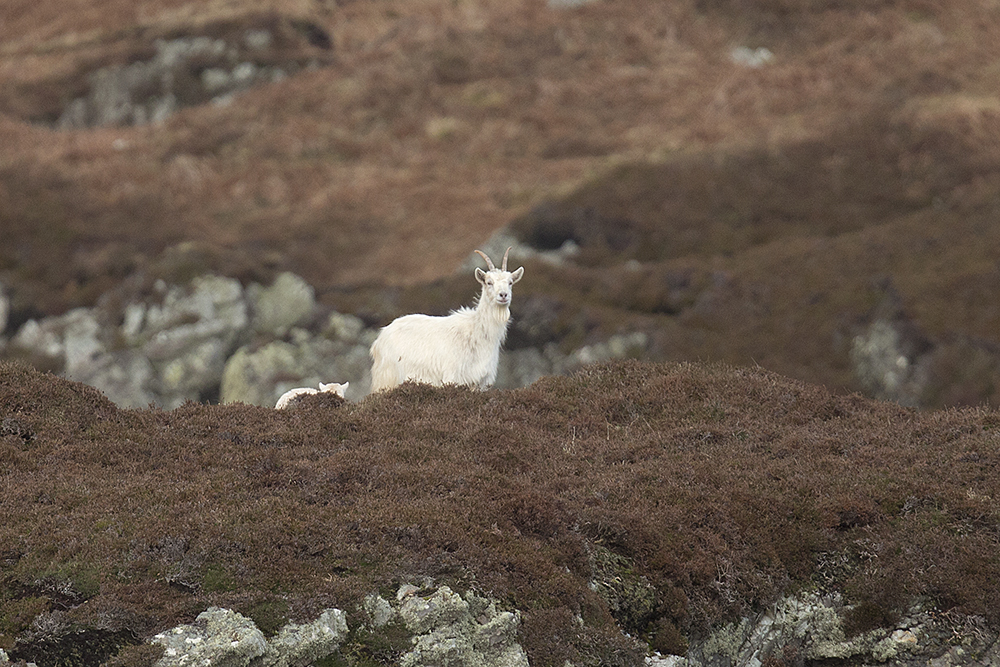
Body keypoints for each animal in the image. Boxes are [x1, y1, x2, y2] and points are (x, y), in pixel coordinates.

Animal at [369, 247, 524, 392]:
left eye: (510, 282)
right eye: (488, 282)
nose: (503, 295)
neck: (477, 331)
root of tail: (379, 340)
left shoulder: (481, 383)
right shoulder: (452, 376)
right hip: (386, 379)